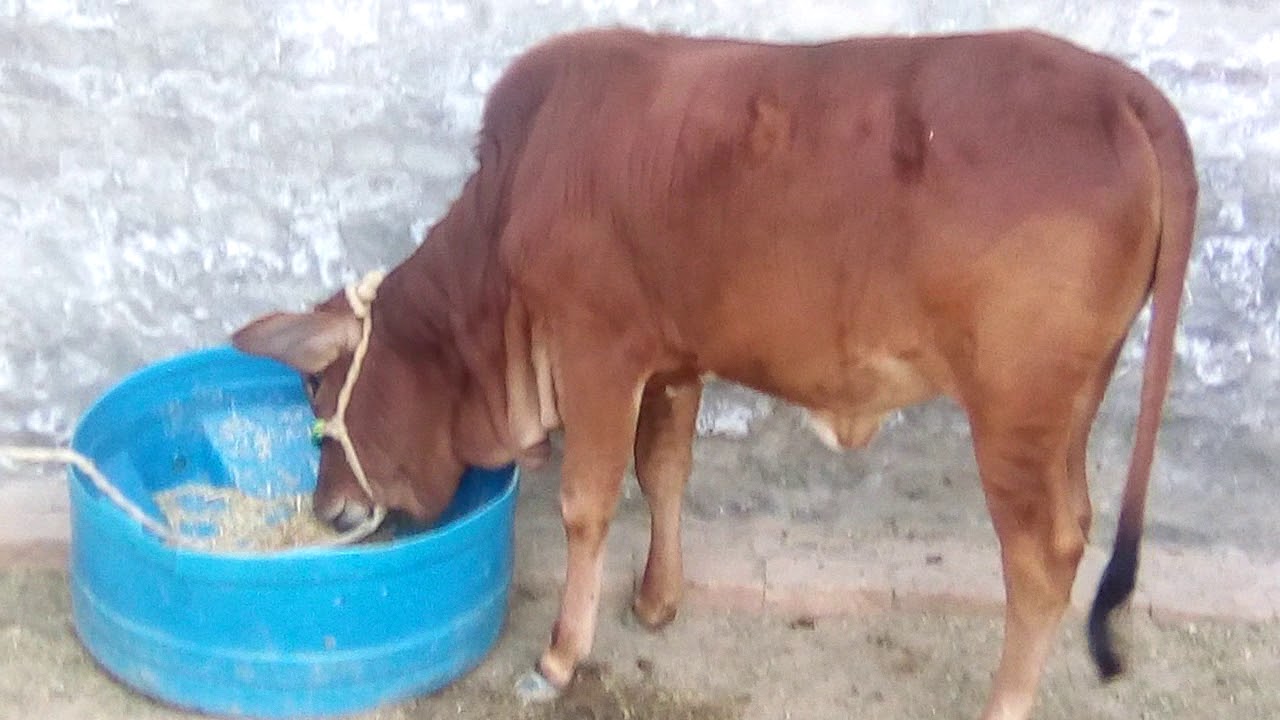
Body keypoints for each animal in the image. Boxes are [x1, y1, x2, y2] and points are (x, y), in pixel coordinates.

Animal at [232, 28, 1196, 720]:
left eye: (316, 390)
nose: (329, 509)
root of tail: (1119, 89)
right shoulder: (671, 360)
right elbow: (665, 473)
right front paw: (657, 601)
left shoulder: (596, 348)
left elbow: (588, 501)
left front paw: (560, 655)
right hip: (1070, 403)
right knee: (1077, 525)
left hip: (1015, 406)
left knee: (1043, 556)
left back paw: (1003, 703)